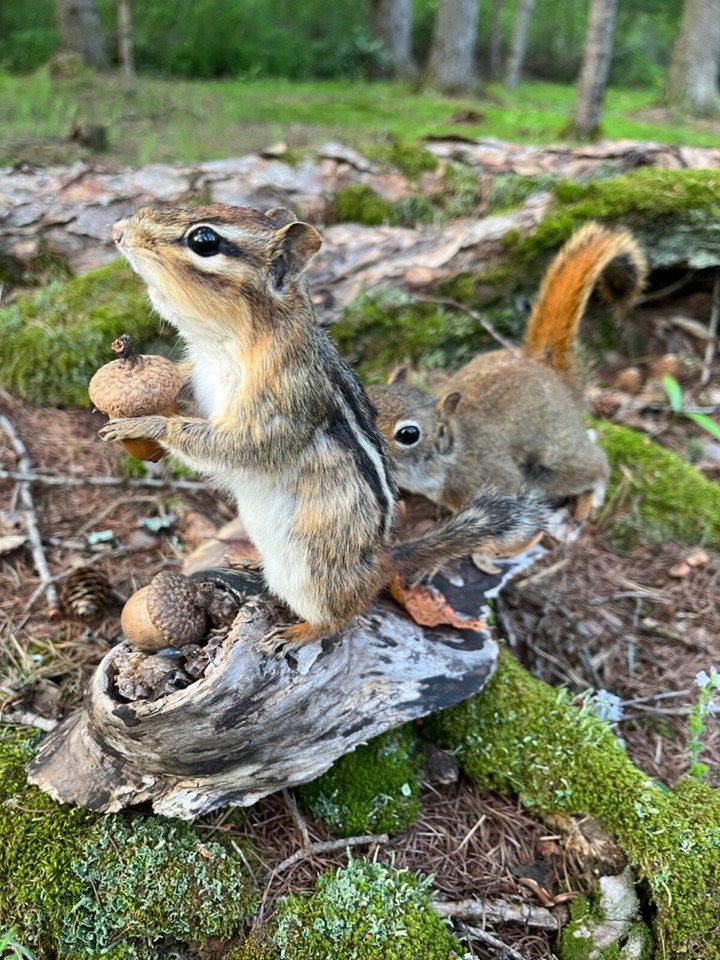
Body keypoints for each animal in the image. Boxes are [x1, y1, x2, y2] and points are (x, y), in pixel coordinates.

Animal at [101, 204, 548, 655]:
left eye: (204, 241)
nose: (118, 231)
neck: (222, 344)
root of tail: (383, 561)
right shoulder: (202, 377)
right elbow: (185, 387)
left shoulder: (282, 402)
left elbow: (237, 446)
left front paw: (145, 422)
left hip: (312, 574)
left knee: (338, 617)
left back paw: (298, 632)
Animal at [368, 221, 648, 519]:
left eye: (409, 435)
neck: (453, 453)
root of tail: (546, 369)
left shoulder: (494, 478)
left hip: (556, 460)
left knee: (596, 464)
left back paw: (593, 496)